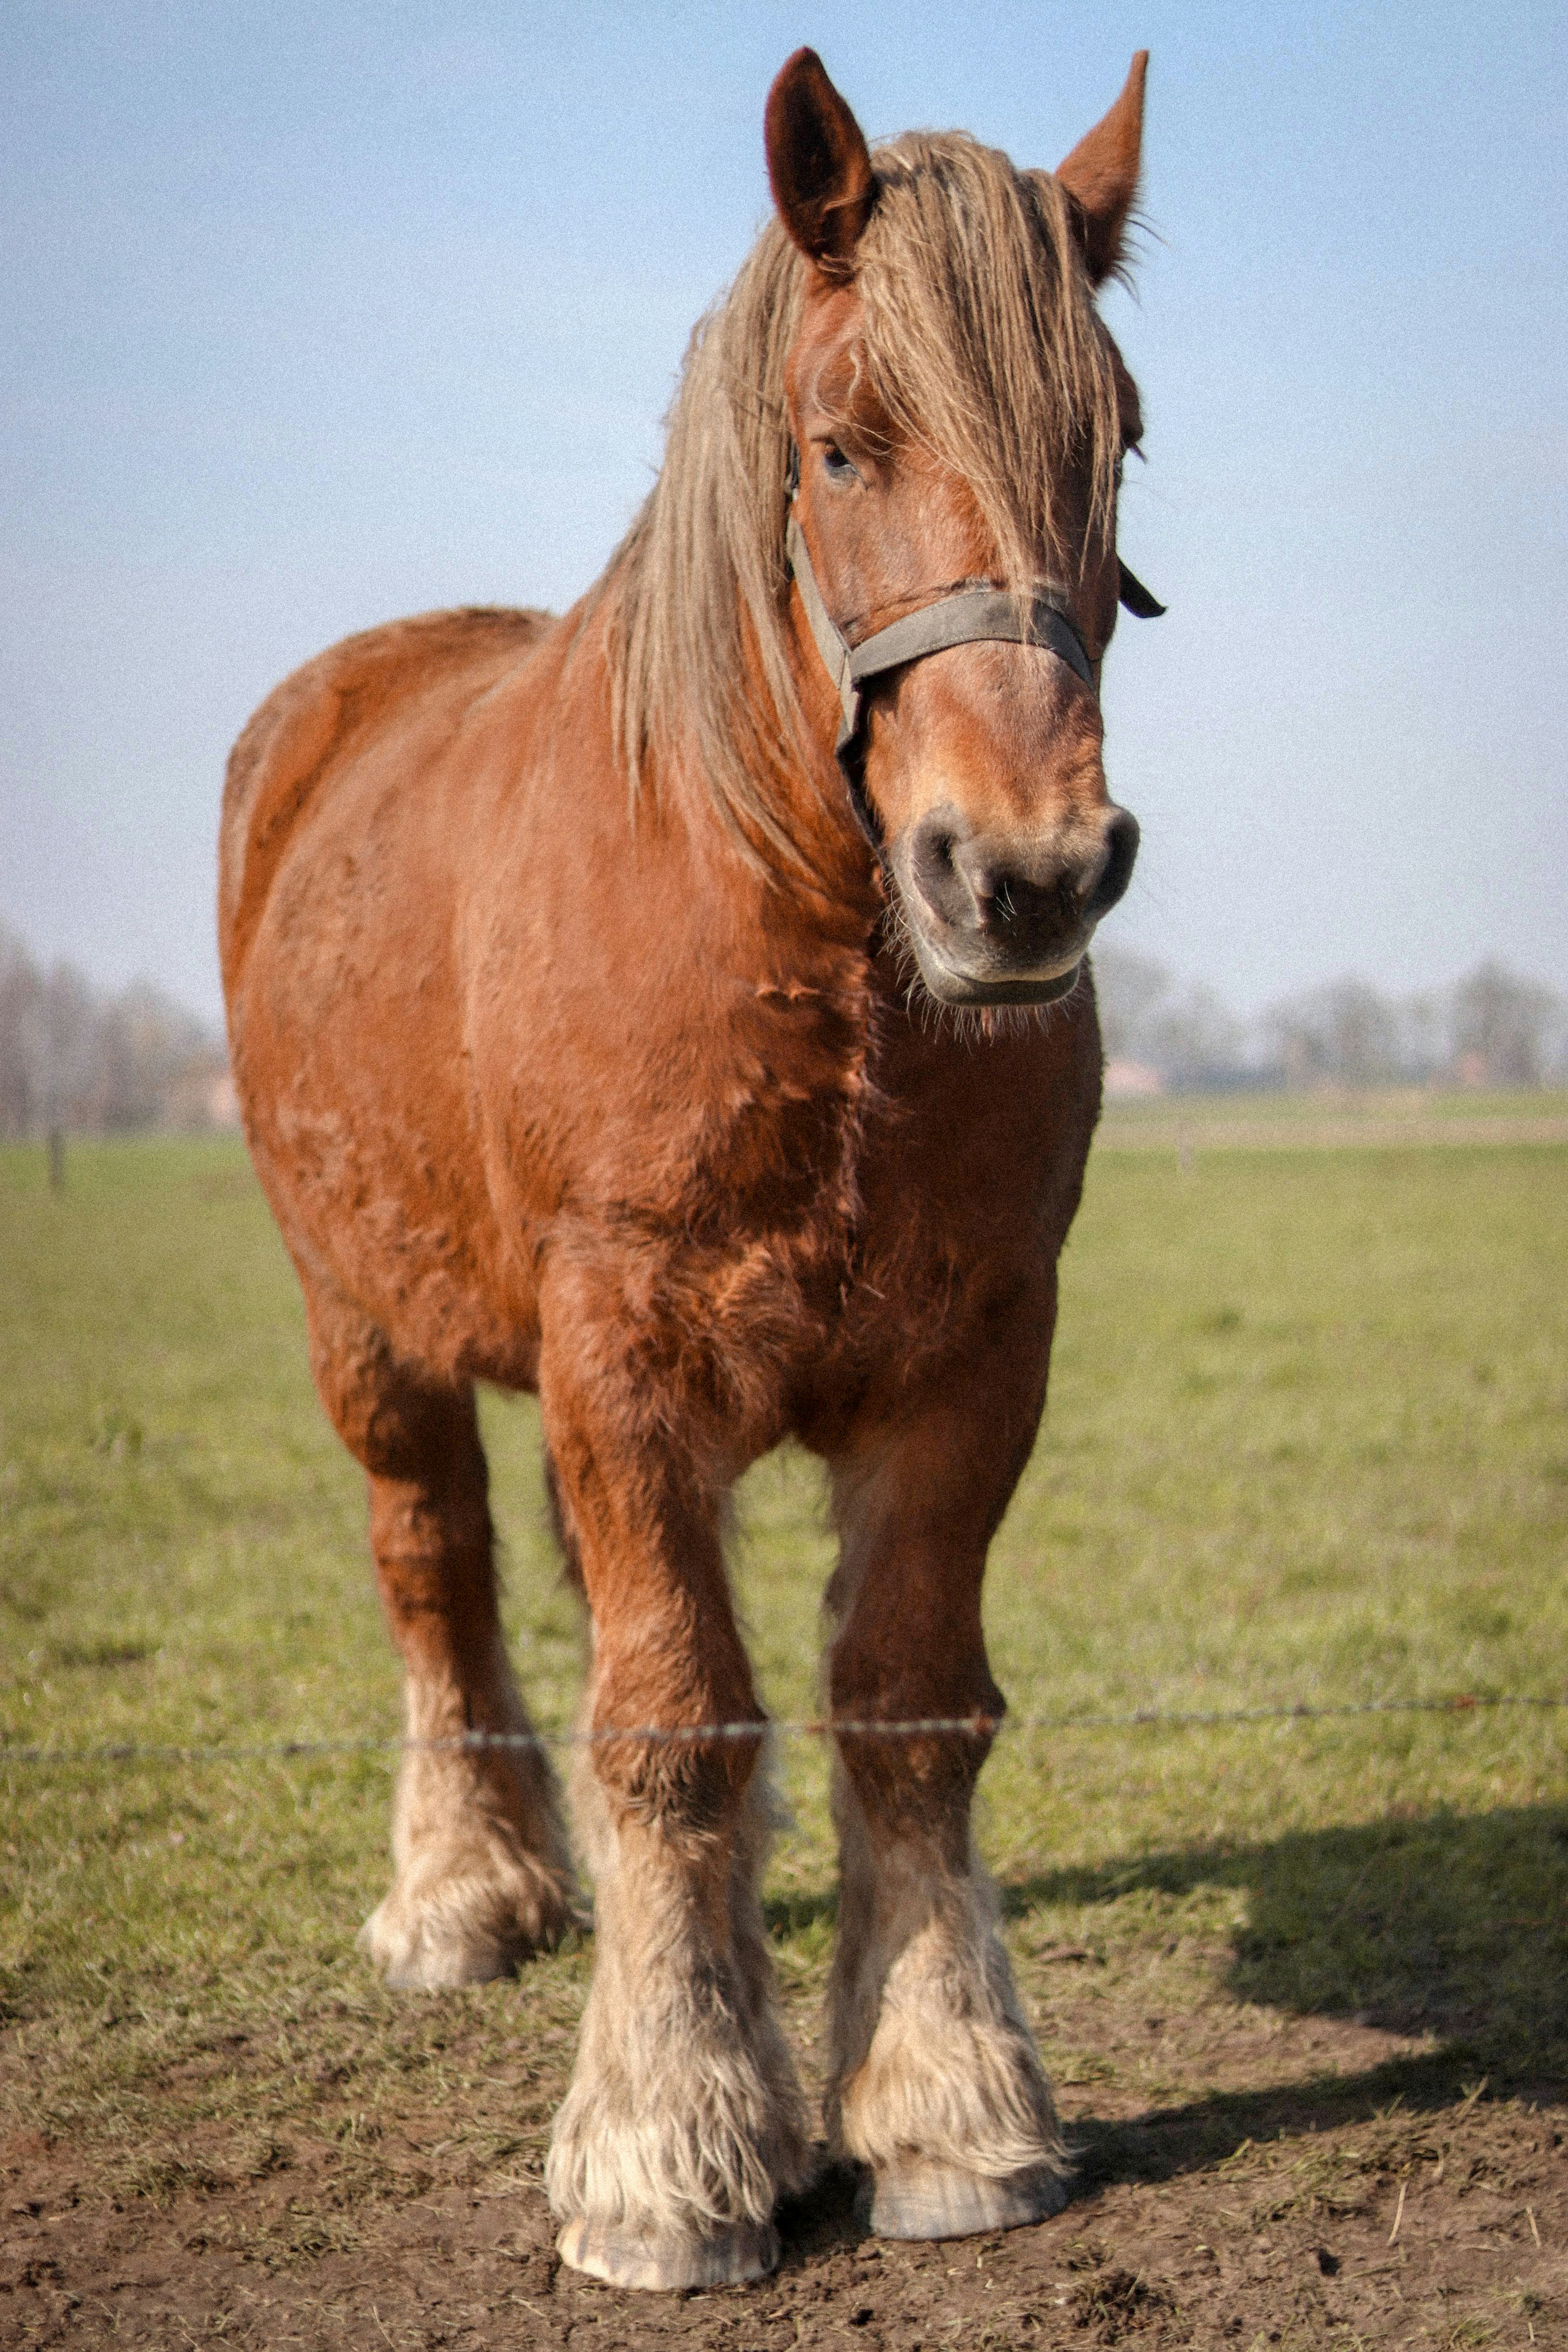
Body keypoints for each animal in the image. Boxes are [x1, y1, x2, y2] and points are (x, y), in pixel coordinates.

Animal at [219, 46, 1156, 2292]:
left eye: (1119, 441)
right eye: (839, 444)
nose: (1026, 873)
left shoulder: (970, 1357)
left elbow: (898, 1702)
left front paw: (943, 2107)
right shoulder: (618, 1353)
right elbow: (668, 1721)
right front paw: (665, 2143)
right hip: (365, 1330)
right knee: (438, 1569)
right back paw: (465, 1893)